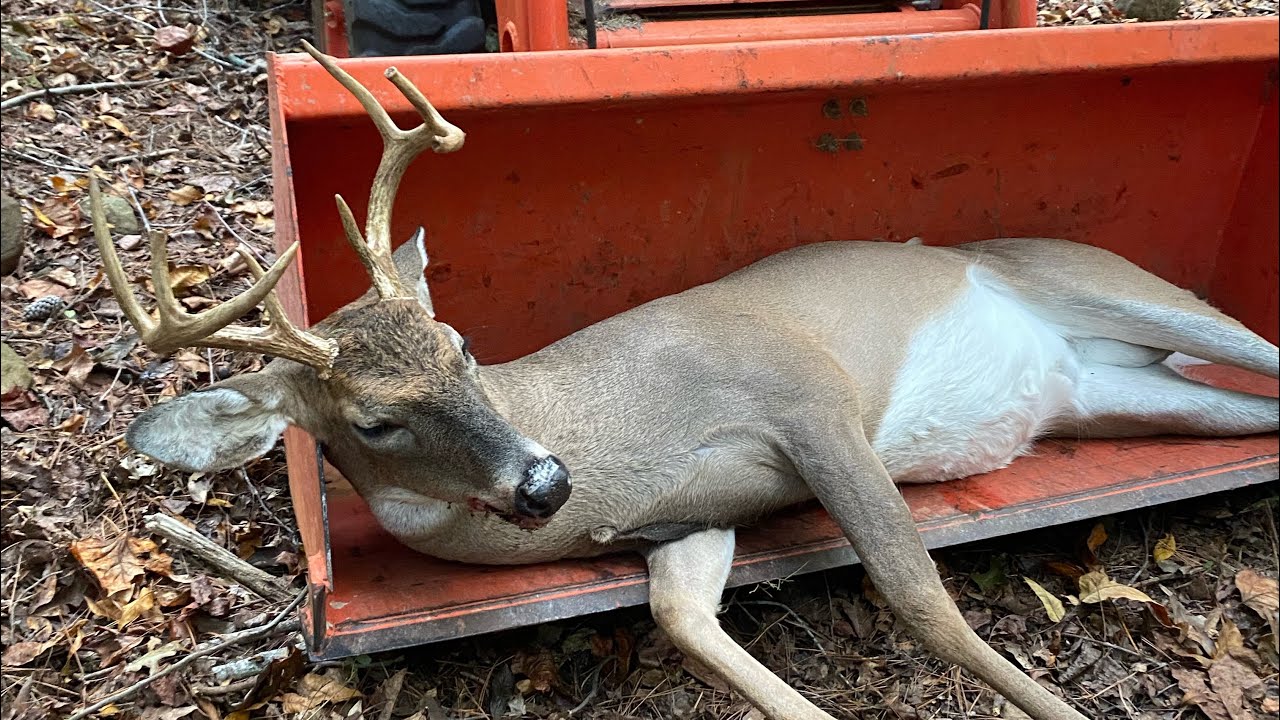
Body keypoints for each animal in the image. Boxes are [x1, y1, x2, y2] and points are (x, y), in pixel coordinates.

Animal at [86, 41, 1279, 720]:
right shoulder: (690, 528)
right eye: (375, 423)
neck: (627, 445)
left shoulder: (806, 392)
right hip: (1121, 396)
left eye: (460, 342)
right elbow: (686, 625)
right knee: (1254, 415)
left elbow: (917, 597)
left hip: (1105, 287)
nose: (542, 485)